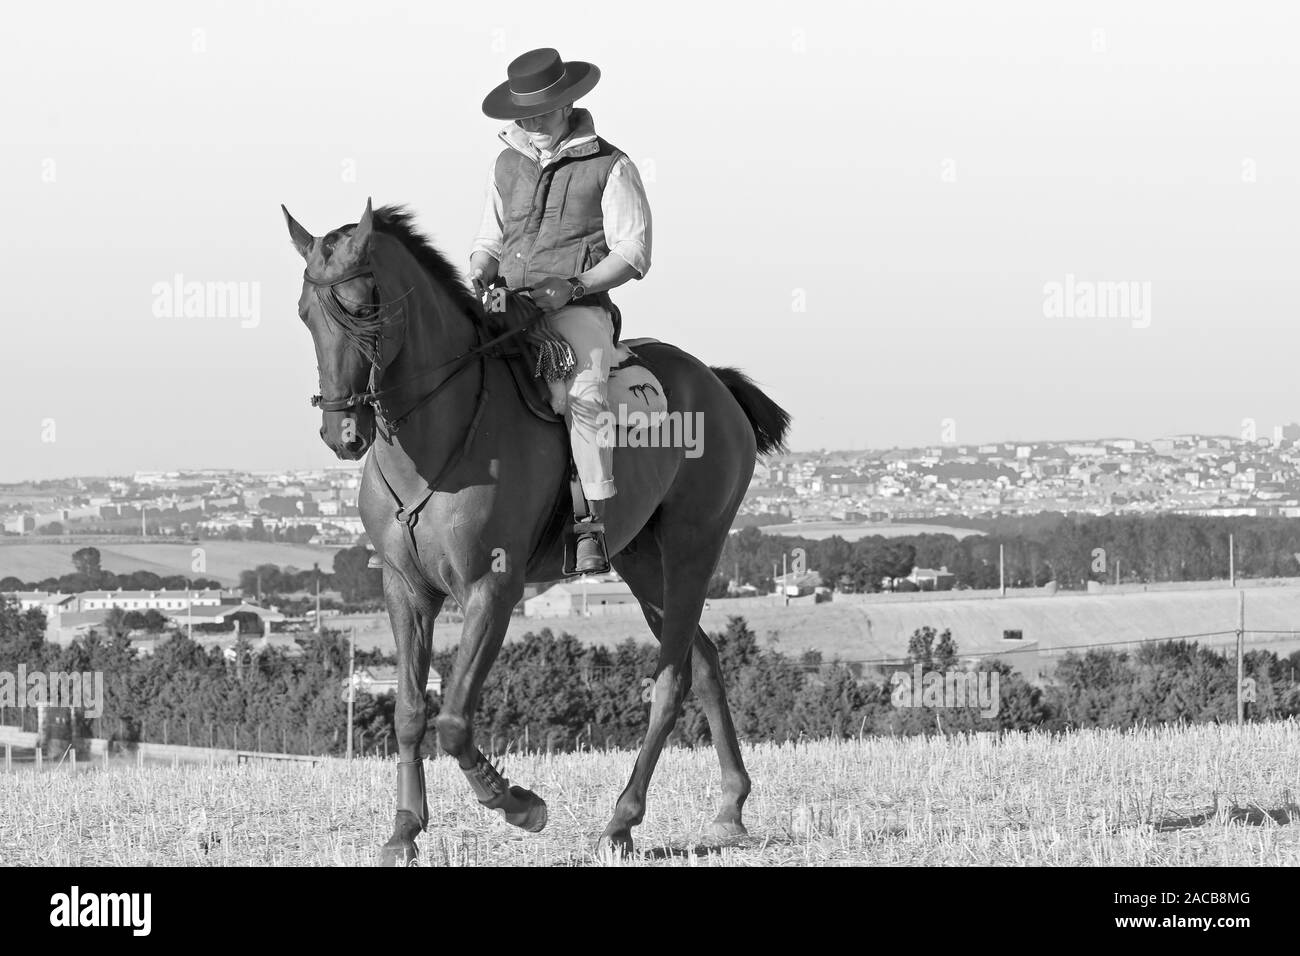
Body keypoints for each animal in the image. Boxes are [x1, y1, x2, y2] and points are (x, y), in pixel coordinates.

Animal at [282, 198, 791, 863]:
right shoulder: (405, 591)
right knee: (702, 661)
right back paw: (730, 808)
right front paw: (404, 831)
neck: (435, 439)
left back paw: (621, 822)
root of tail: (712, 379)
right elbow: (411, 712)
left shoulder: (491, 590)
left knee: (672, 677)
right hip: (639, 562)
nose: (342, 435)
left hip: (691, 549)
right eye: (305, 313)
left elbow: (453, 718)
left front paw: (519, 804)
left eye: (365, 307)